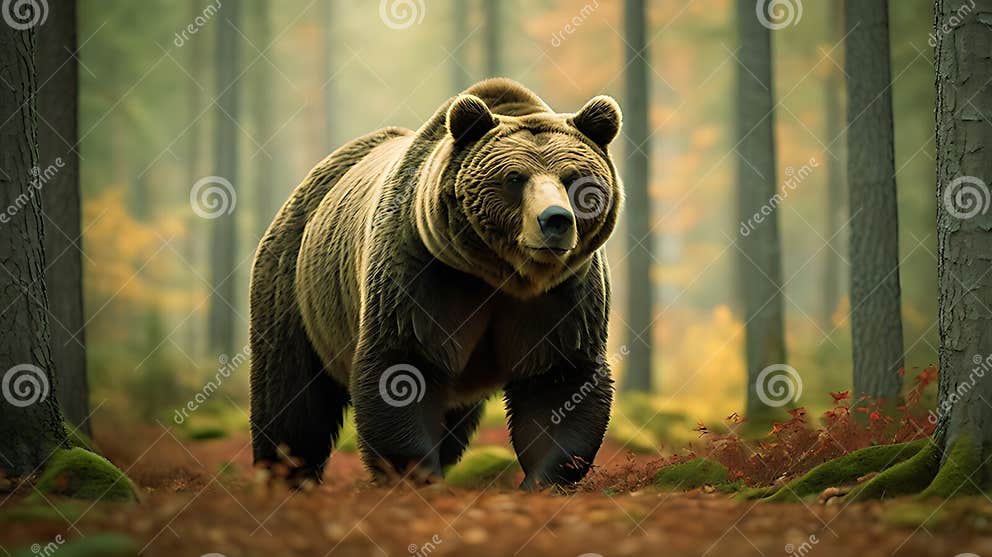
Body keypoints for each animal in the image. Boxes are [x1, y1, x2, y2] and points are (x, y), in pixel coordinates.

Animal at [249, 78, 623, 490]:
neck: (501, 275)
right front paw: (413, 473)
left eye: (574, 179)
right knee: (291, 393)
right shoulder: (423, 271)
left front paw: (545, 479)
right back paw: (285, 473)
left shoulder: (564, 293)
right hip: (296, 282)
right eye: (514, 178)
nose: (555, 219)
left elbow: (559, 377)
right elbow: (404, 364)